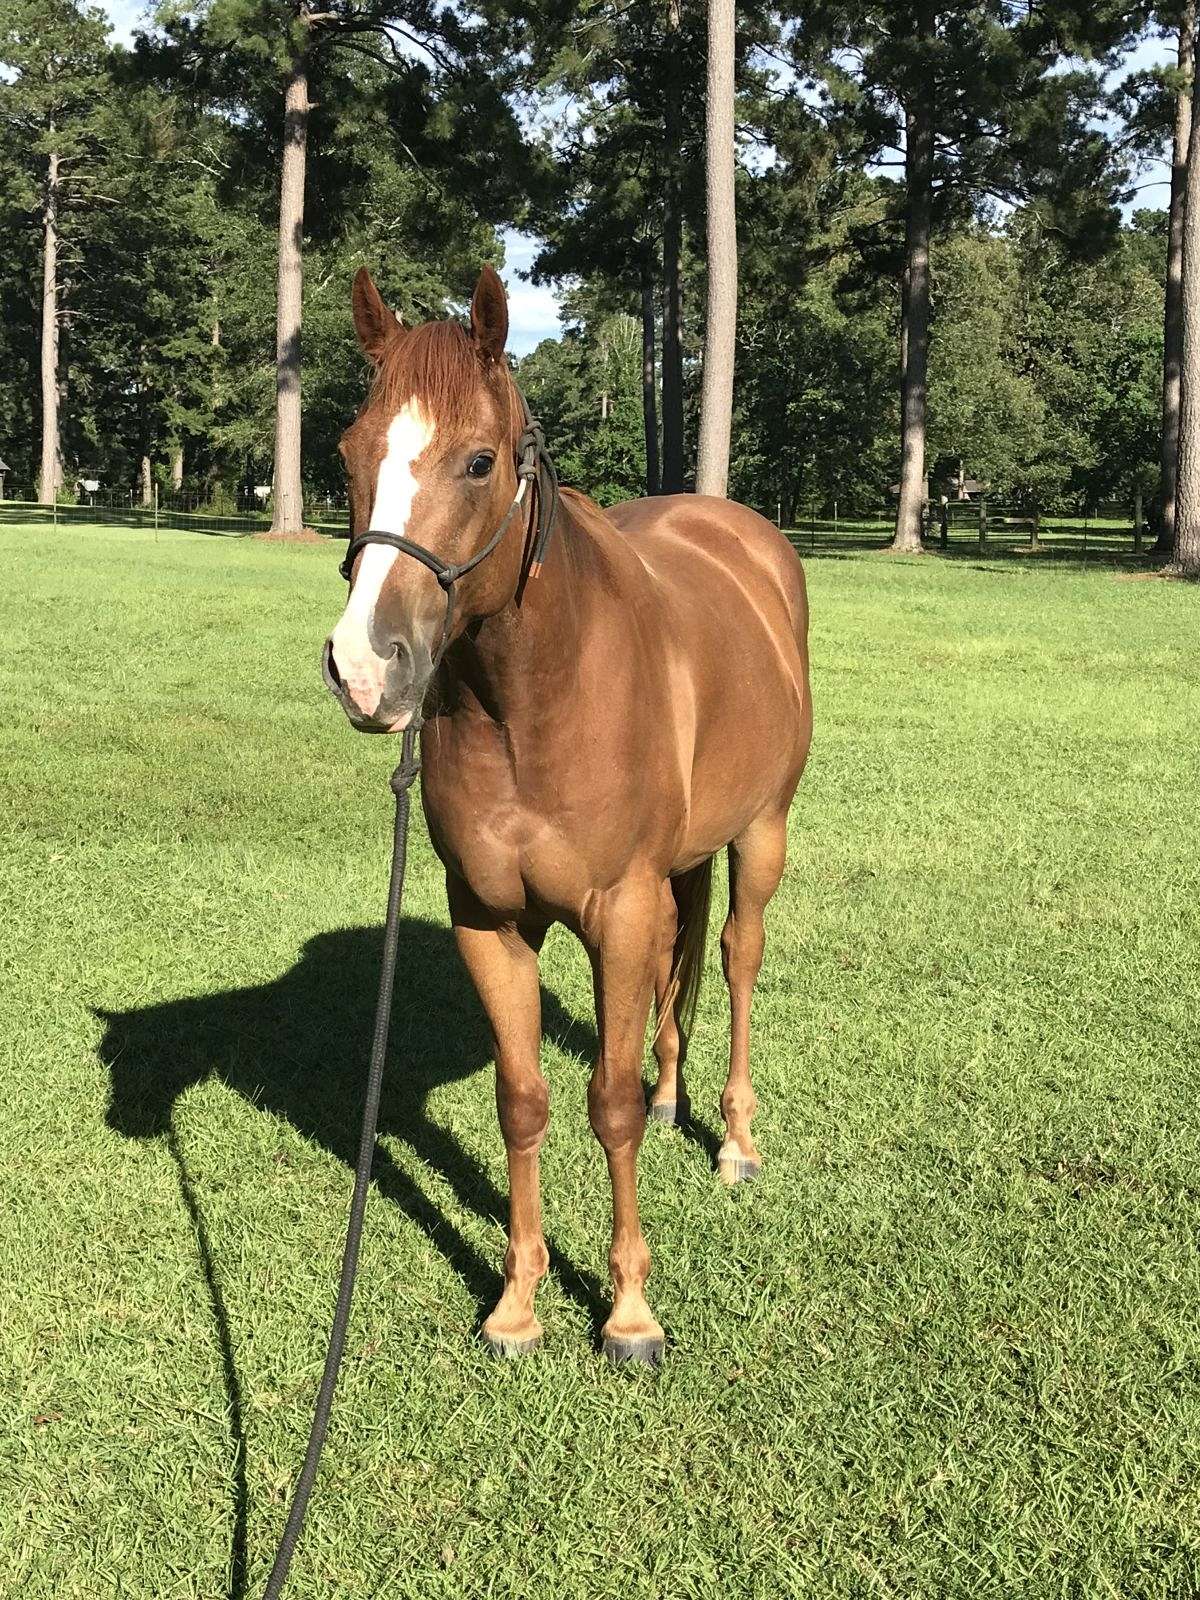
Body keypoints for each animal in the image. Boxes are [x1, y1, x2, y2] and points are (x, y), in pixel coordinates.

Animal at [322, 265, 812, 1364]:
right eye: (348, 453)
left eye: (479, 461)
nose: (367, 668)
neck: (535, 702)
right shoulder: (489, 919)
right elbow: (524, 1102)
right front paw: (517, 1300)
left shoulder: (617, 913)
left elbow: (610, 1107)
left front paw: (628, 1310)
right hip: (684, 862)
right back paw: (679, 1098)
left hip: (761, 834)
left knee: (737, 958)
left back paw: (736, 1139)